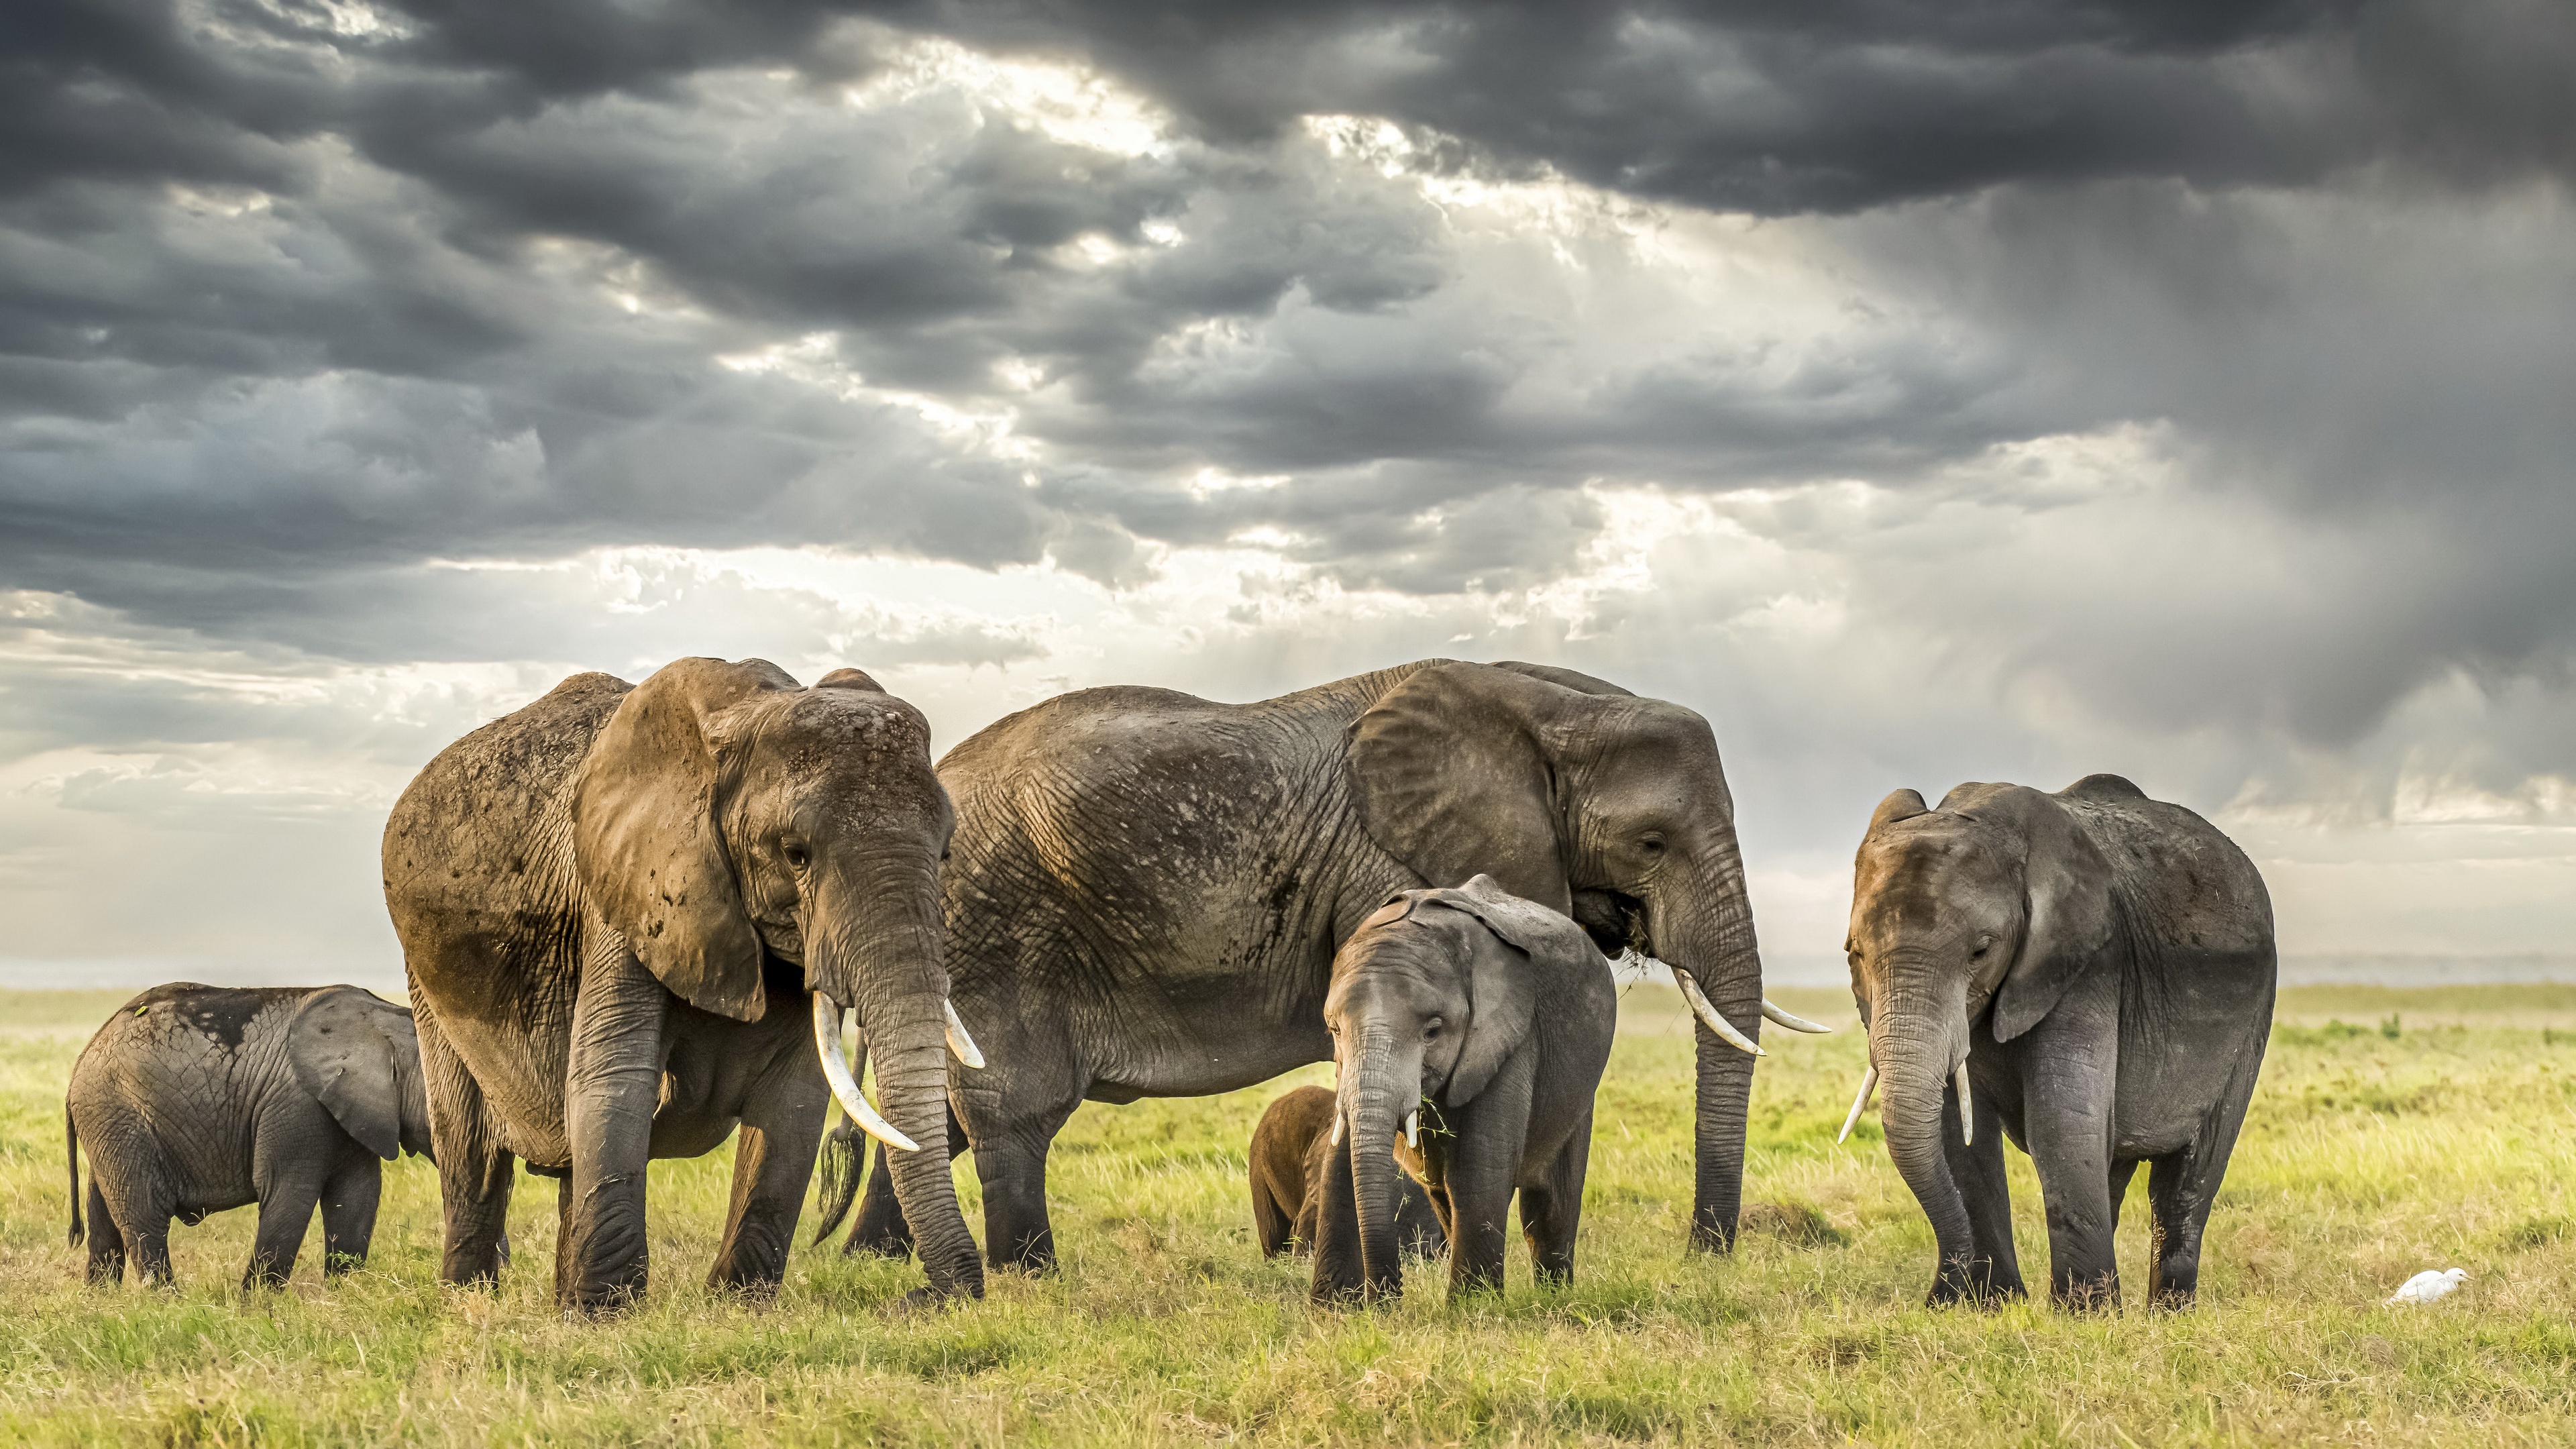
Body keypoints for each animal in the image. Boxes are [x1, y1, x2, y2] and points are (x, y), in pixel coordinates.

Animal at [66, 983, 431, 1289]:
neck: (381, 1023)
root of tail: (81, 1060)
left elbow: (357, 1198)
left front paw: (345, 1296)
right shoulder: (295, 1107)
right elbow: (289, 1194)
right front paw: (258, 1307)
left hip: (108, 1124)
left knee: (104, 1220)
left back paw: (102, 1302)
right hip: (119, 1114)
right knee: (145, 1216)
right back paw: (168, 1304)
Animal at [380, 657, 987, 1311]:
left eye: (945, 852)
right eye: (796, 854)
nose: (919, 1297)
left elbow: (794, 1097)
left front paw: (739, 1304)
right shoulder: (628, 893)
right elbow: (615, 1075)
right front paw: (605, 1314)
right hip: (425, 974)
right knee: (470, 1150)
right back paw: (469, 1297)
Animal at [1308, 876, 1618, 1303]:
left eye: (1434, 1030)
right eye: (1334, 1029)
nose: (1389, 1299)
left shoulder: (1513, 1038)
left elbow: (1477, 1166)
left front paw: (1473, 1307)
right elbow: (1340, 1158)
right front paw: (1336, 1308)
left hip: (1579, 1092)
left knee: (1551, 1206)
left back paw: (1555, 1297)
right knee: (1445, 1200)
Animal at [1843, 774, 2276, 1310]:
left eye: (1980, 951)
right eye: (1854, 954)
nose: (1938, 1294)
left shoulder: (2090, 963)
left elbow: (2057, 1117)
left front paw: (2083, 1315)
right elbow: (1958, 1131)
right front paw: (1989, 1306)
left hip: (2254, 1018)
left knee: (2190, 1175)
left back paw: (2169, 1313)